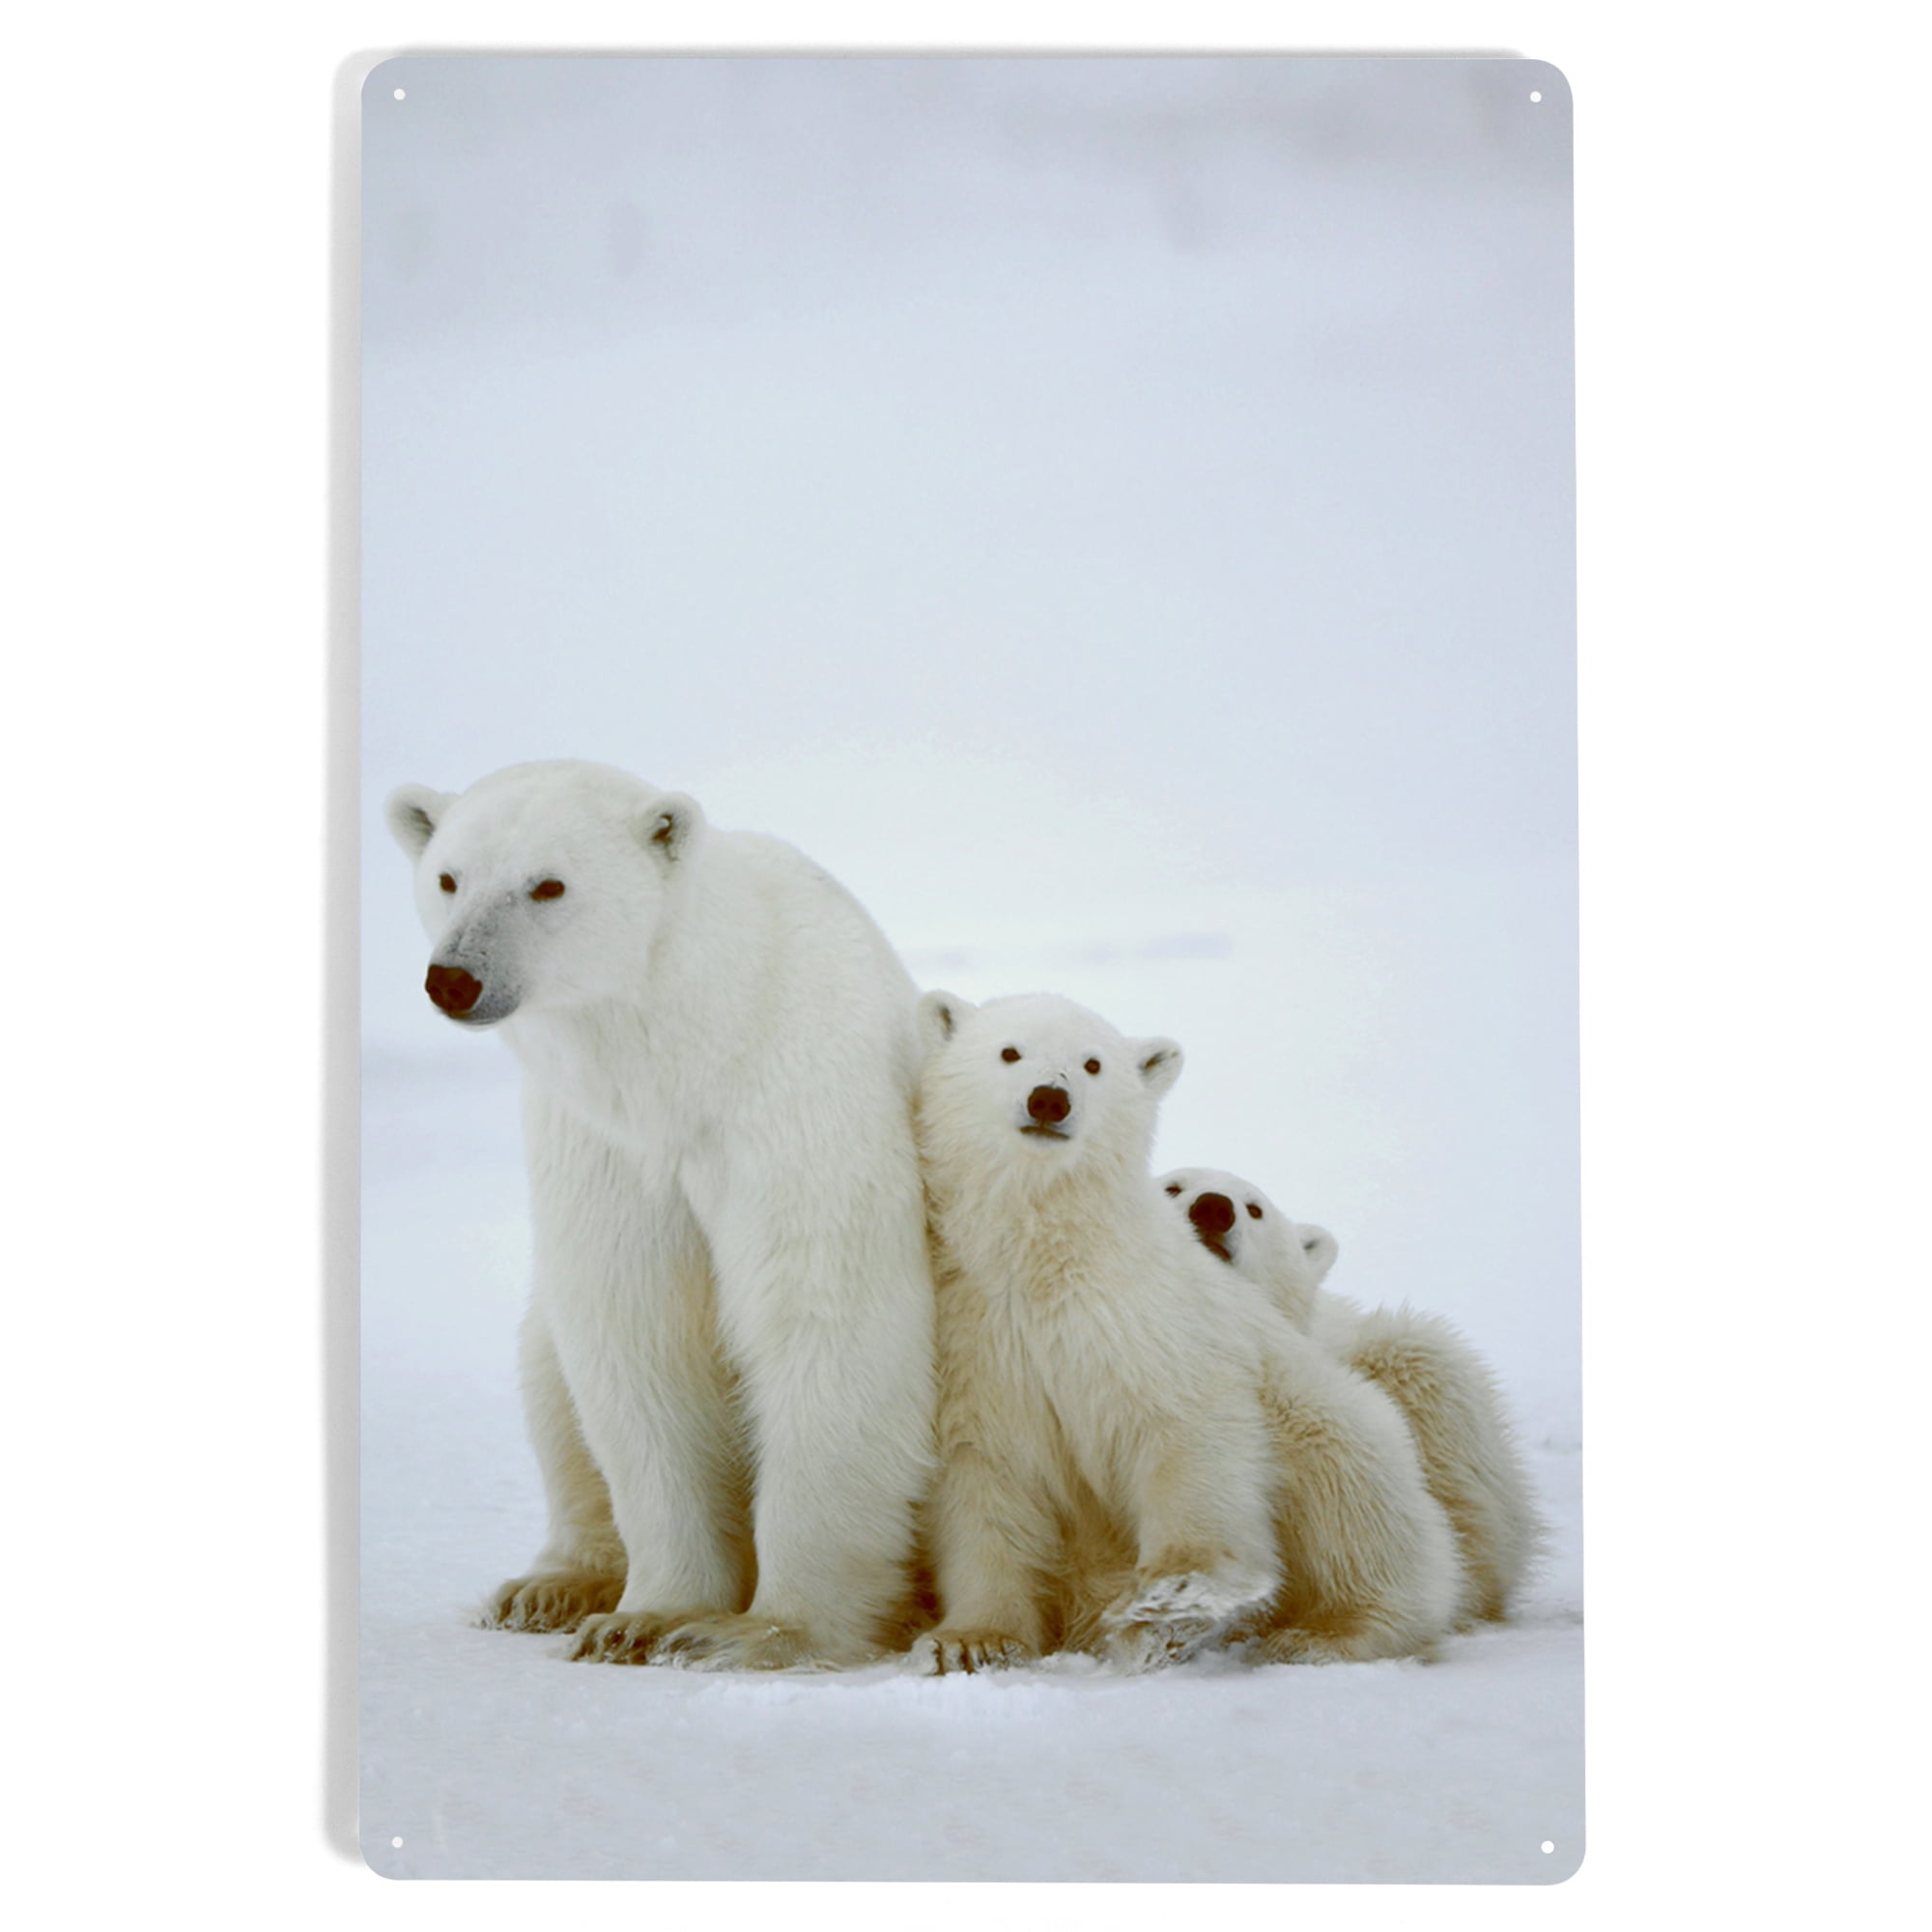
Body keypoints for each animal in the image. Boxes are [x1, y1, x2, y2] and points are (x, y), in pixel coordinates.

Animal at [385, 759, 936, 1670]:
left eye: (548, 884)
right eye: (448, 877)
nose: (454, 978)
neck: (691, 1049)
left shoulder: (798, 1101)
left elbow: (826, 1316)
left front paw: (758, 1631)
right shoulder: (605, 1143)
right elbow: (636, 1332)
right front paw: (644, 1618)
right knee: (548, 1372)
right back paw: (549, 1586)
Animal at [910, 991, 1463, 1674]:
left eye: (1093, 1064)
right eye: (1009, 1052)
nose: (1049, 1100)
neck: (1047, 1257)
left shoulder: (1154, 1316)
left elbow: (1188, 1432)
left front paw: (1172, 1604)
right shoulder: (980, 1338)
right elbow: (986, 1481)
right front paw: (970, 1641)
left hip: (1330, 1417)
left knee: (1352, 1497)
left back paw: (1325, 1633)